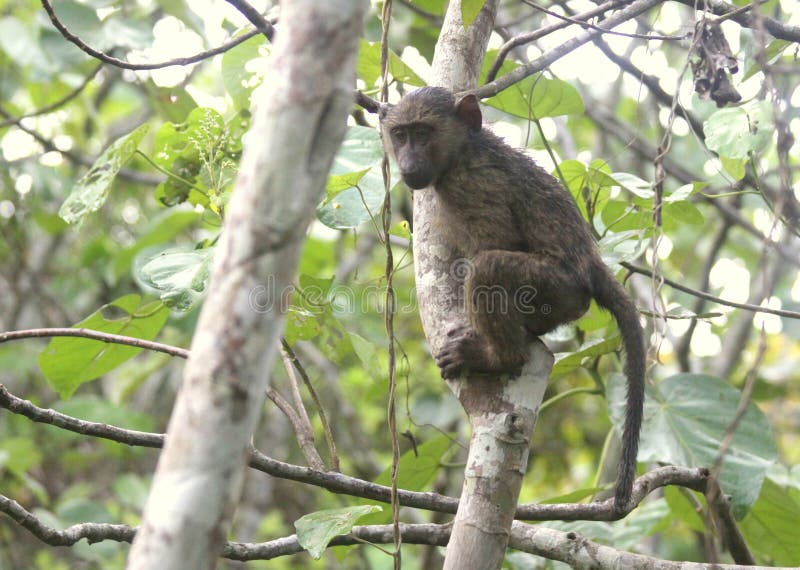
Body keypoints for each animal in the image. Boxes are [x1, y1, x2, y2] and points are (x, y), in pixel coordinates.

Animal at [378, 86, 645, 514]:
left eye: (422, 133)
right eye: (400, 135)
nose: (408, 163)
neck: (465, 149)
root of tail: (589, 263)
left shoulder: (474, 187)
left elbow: (492, 244)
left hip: (559, 288)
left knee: (488, 268)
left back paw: (497, 357)